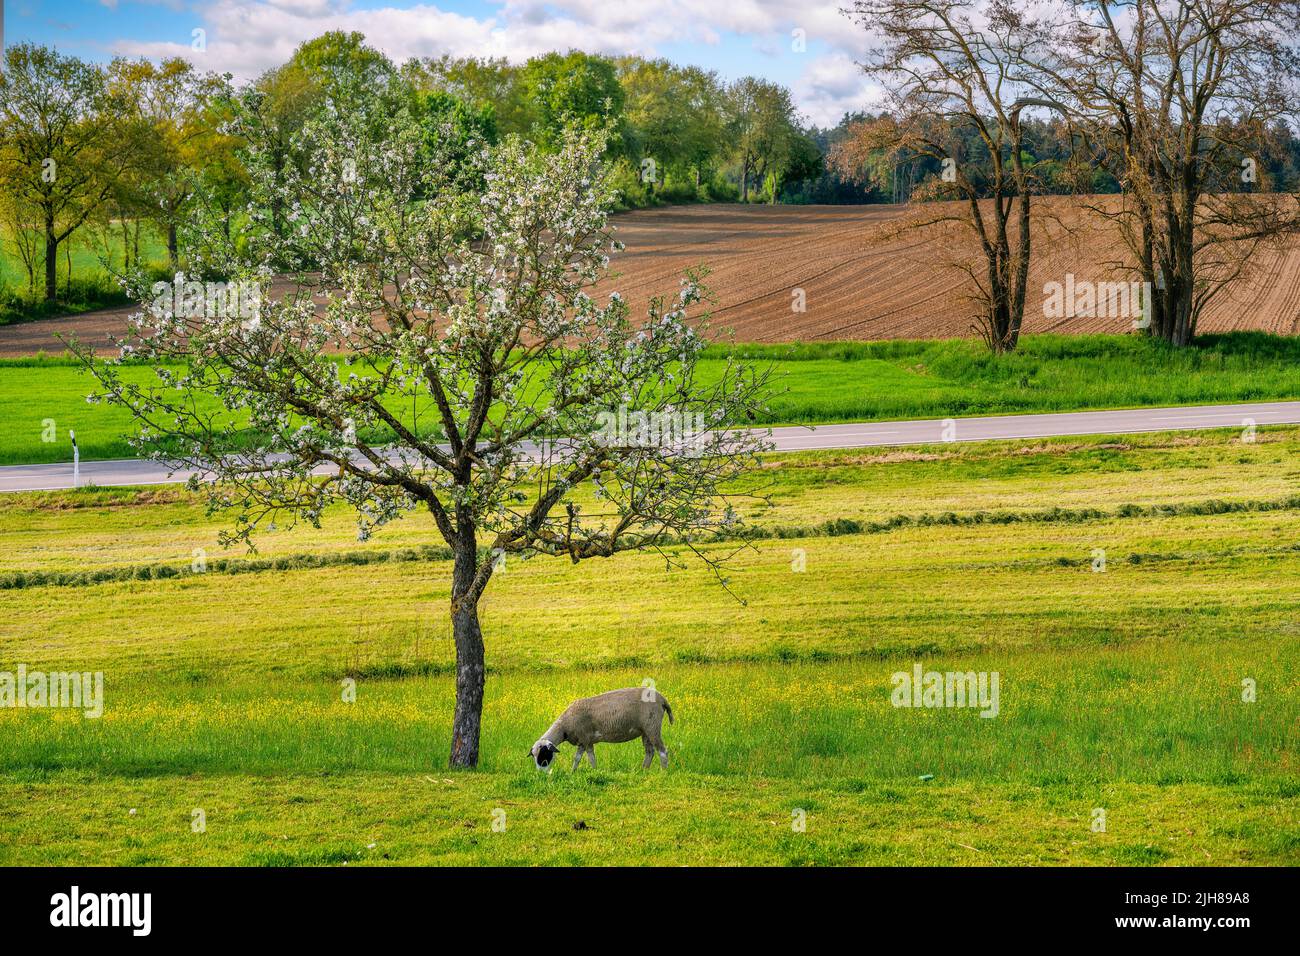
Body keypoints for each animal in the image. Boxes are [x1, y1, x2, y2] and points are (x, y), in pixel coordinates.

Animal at [530, 686, 674, 771]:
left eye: (544, 754)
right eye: (533, 755)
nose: (540, 773)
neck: (564, 726)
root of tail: (662, 699)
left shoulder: (584, 738)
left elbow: (581, 758)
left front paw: (578, 771)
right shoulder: (586, 741)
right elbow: (587, 758)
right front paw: (588, 771)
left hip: (652, 726)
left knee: (662, 750)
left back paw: (664, 771)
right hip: (645, 730)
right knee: (650, 751)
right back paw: (643, 770)